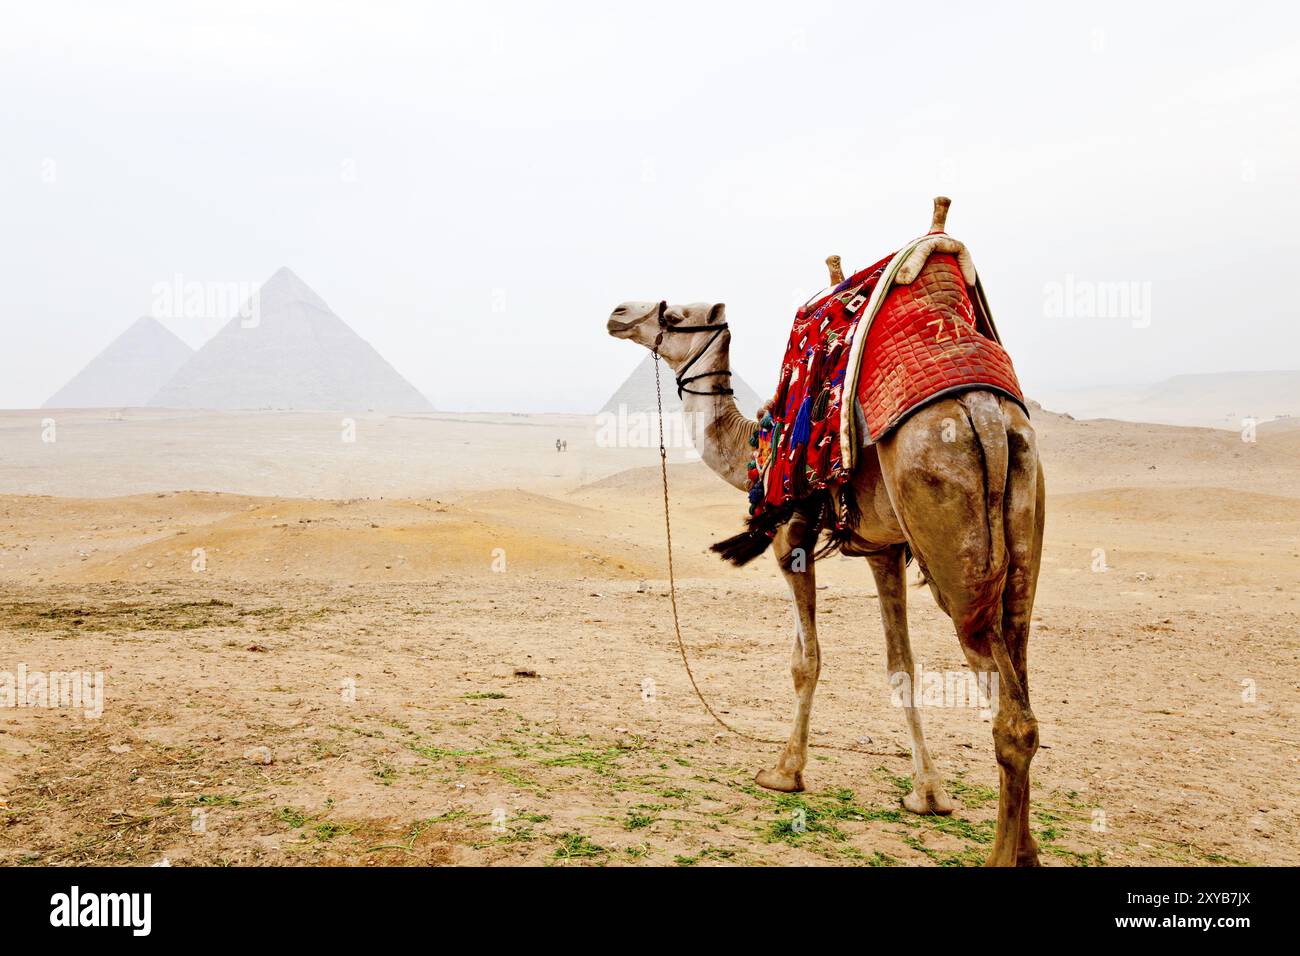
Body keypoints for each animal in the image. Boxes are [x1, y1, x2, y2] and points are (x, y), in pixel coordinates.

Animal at [605, 208, 1046, 866]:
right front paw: (928, 795)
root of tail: (988, 418)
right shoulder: (884, 549)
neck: (755, 445)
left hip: (953, 549)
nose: (617, 313)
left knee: (1009, 715)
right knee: (1023, 681)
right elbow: (901, 667)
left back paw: (1003, 857)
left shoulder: (791, 534)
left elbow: (804, 661)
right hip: (1021, 521)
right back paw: (1027, 849)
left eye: (674, 315)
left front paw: (784, 772)